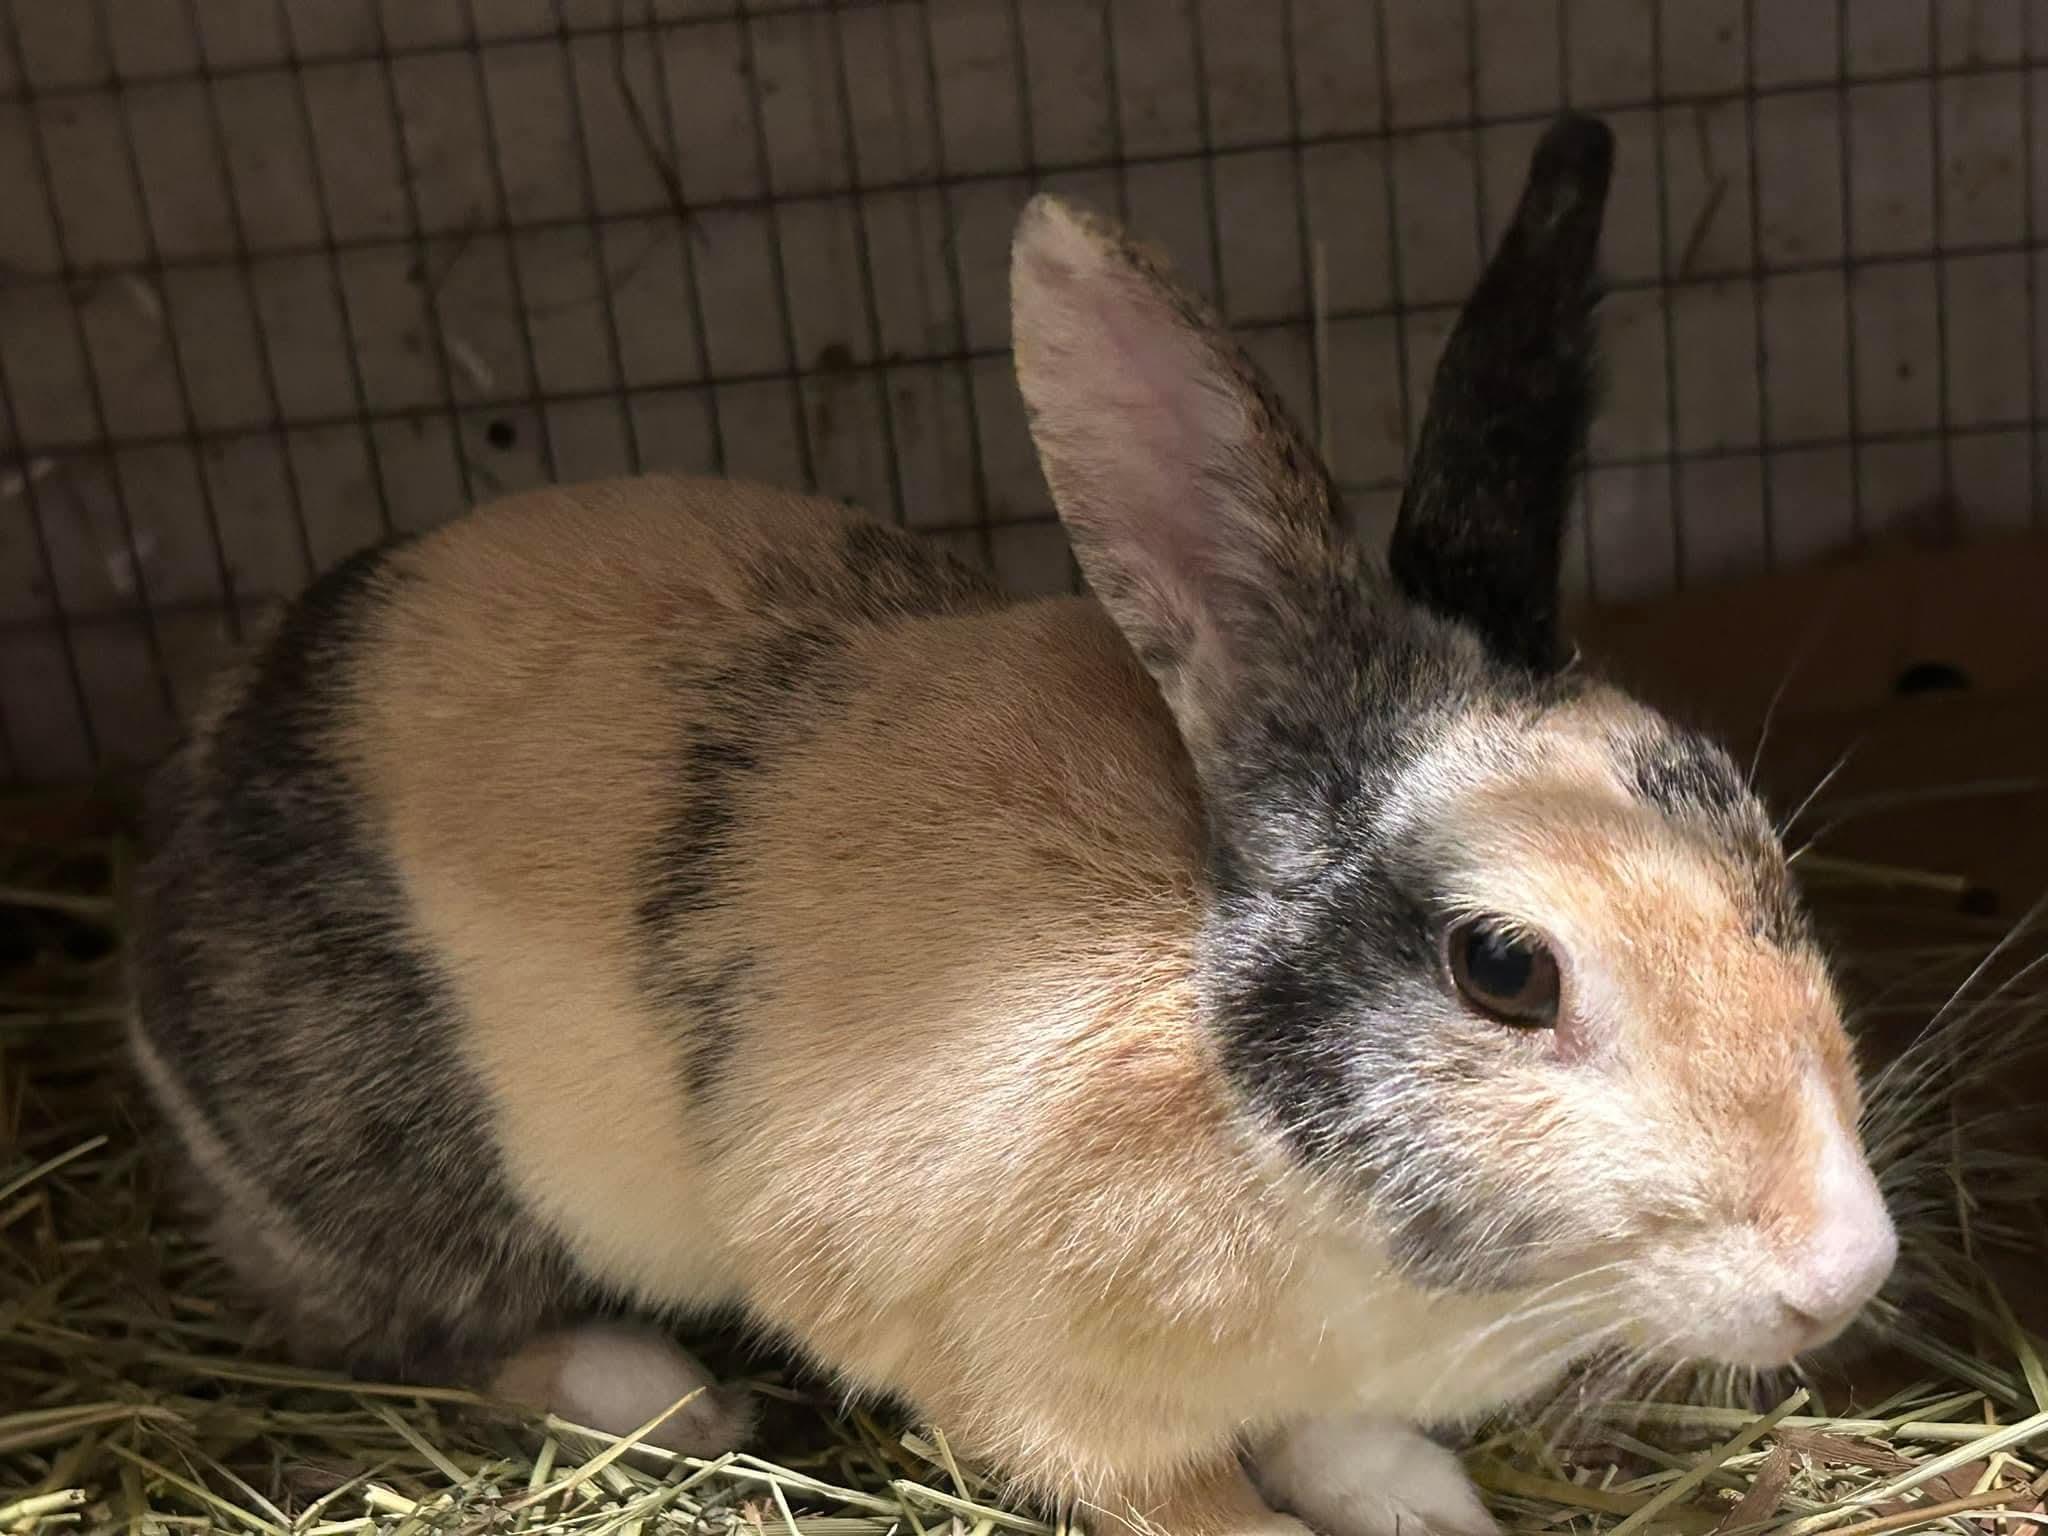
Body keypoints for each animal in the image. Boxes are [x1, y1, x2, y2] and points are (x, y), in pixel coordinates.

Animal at [128, 112, 1895, 1536]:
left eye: (1757, 836)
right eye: (1505, 967)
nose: (1845, 1272)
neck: (1227, 1079)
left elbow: (1341, 1443)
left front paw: (1425, 1505)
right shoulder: (1048, 1394)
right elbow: (1194, 1505)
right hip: (410, 1167)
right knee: (420, 1325)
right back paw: (659, 1391)